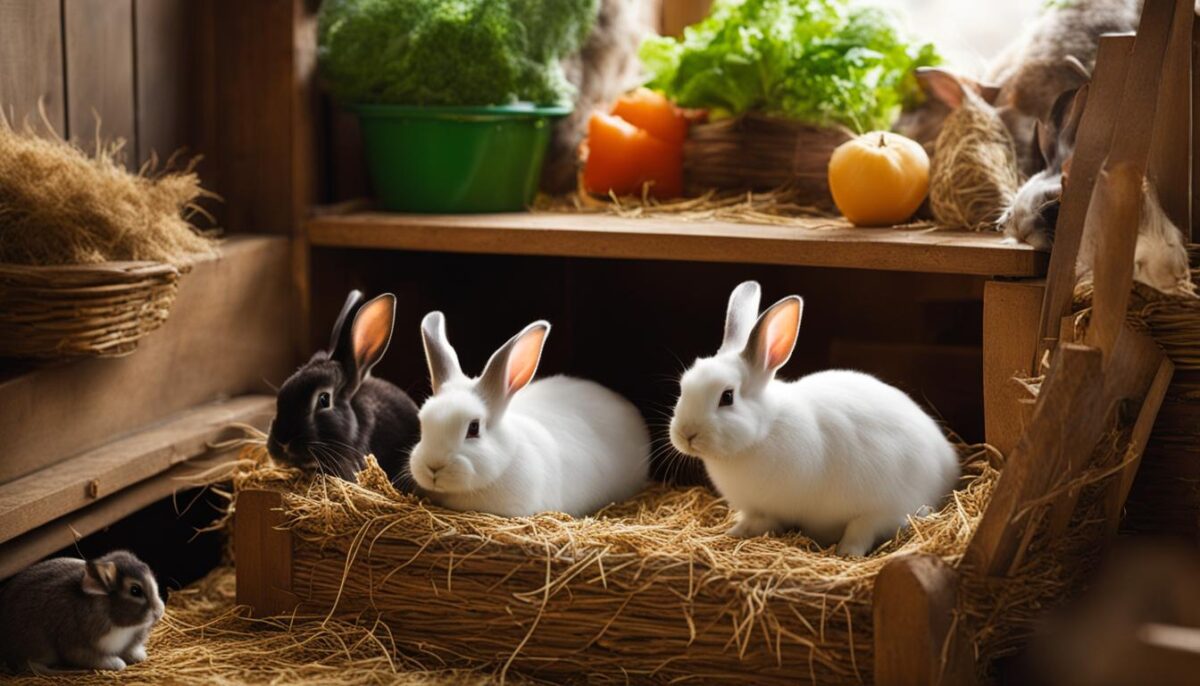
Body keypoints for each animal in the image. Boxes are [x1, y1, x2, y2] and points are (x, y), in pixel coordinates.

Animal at [0, 551, 164, 673]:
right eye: (135, 590)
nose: (159, 611)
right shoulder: (77, 647)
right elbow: (98, 659)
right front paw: (118, 664)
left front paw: (140, 656)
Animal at [668, 281, 960, 557]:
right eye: (683, 387)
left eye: (727, 396)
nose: (686, 434)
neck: (765, 431)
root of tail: (949, 468)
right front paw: (734, 530)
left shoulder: (775, 508)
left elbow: (767, 521)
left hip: (883, 504)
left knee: (865, 530)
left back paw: (846, 551)